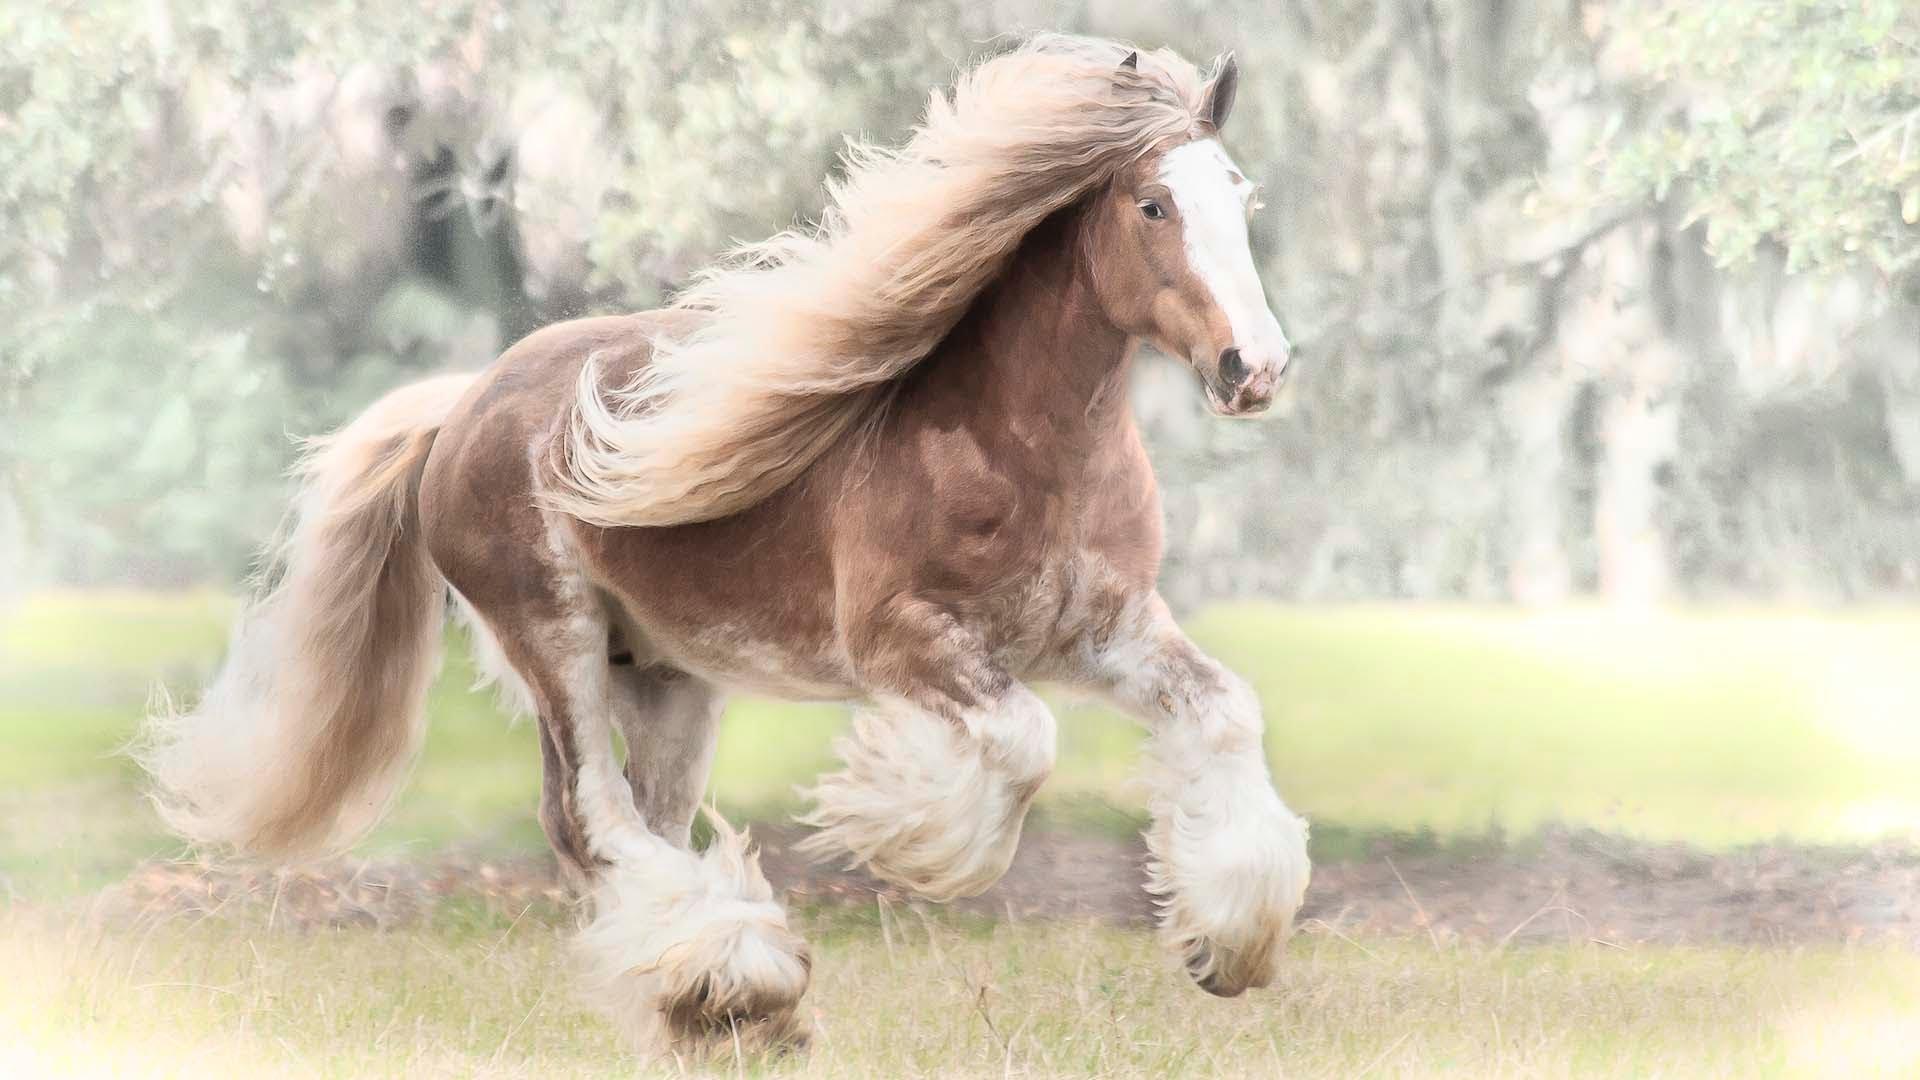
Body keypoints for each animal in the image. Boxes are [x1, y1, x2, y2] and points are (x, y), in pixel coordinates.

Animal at [139, 35, 1310, 1054]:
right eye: (1155, 204)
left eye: (1245, 197)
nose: (1254, 368)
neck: (1018, 446)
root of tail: (461, 408)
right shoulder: (905, 642)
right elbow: (1026, 741)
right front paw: (909, 835)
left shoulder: (1109, 632)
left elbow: (1226, 712)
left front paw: (1225, 948)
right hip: (555, 639)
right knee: (591, 816)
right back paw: (747, 981)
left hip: (668, 682)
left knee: (635, 824)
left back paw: (719, 998)